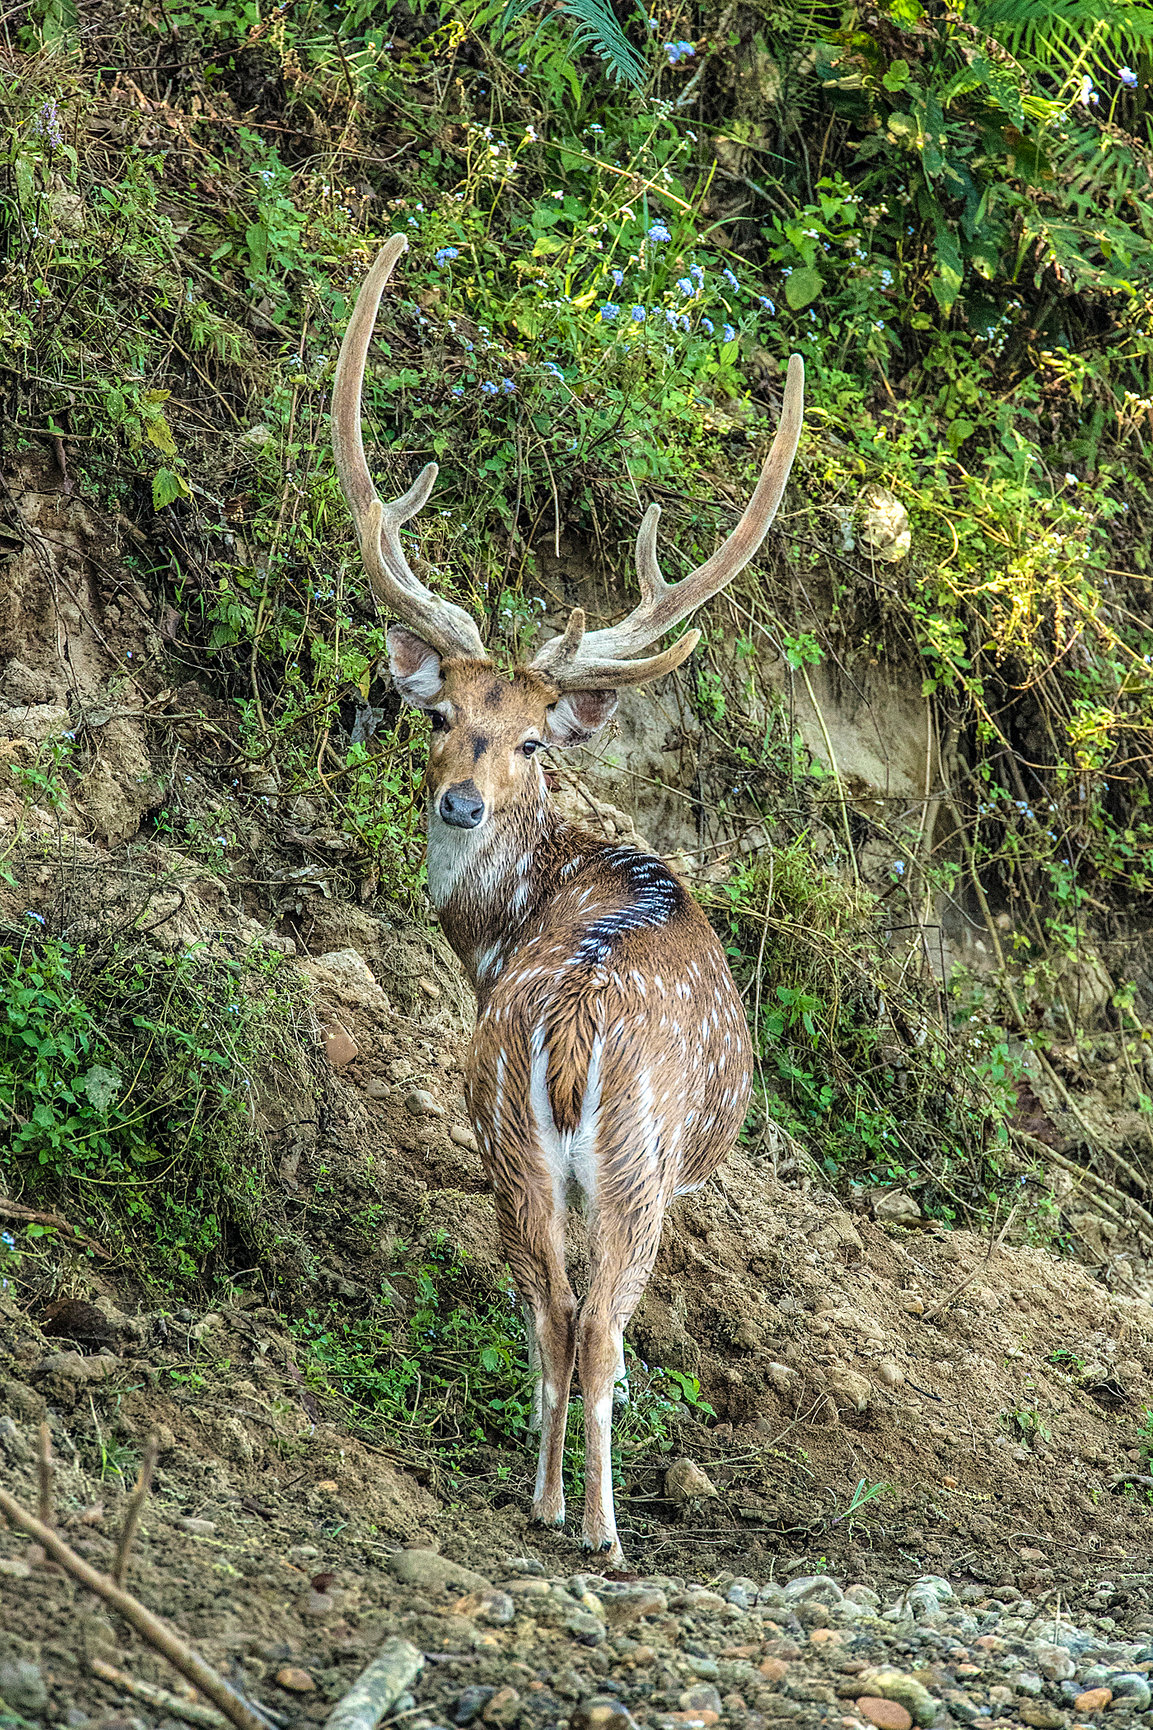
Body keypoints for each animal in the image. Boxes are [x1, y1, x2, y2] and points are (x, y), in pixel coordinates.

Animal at [332, 234, 803, 1563]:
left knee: (542, 1307)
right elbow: (615, 1341)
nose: (459, 802)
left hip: (503, 1136)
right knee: (592, 1325)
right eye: (442, 715)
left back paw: (537, 1497)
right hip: (638, 1159)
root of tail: (575, 1018)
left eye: (532, 738)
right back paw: (598, 1526)